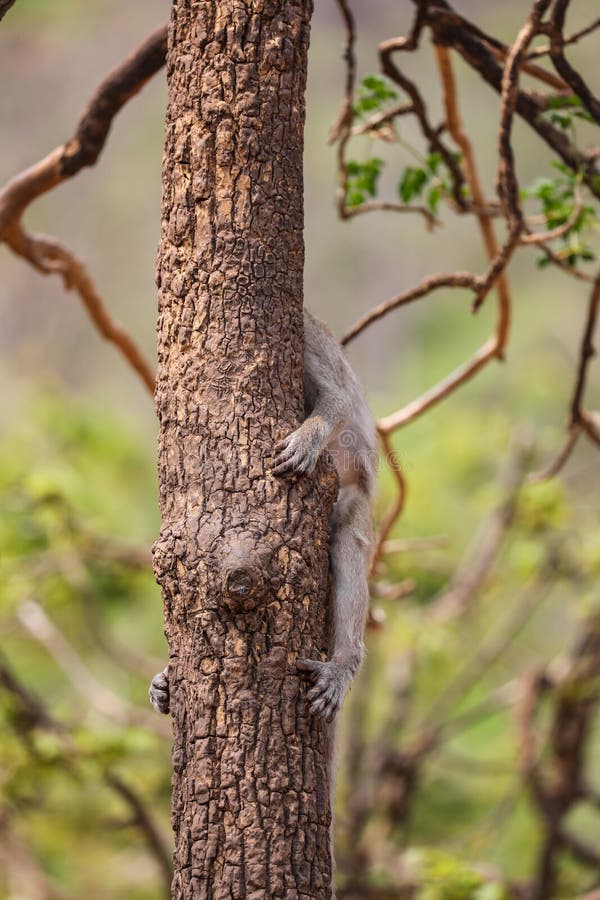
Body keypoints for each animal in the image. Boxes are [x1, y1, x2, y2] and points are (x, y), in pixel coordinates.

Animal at [149, 308, 376, 722]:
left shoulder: (306, 335)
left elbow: (339, 399)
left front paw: (307, 439)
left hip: (354, 499)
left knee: (349, 542)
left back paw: (343, 664)